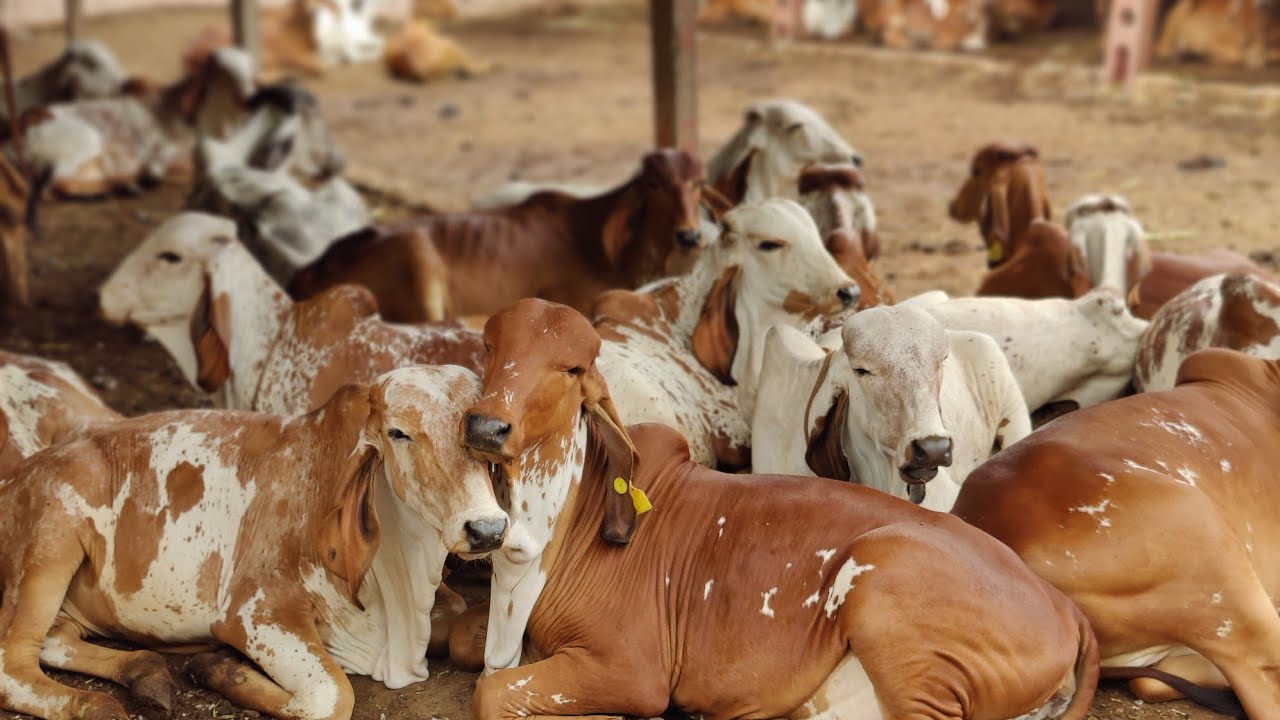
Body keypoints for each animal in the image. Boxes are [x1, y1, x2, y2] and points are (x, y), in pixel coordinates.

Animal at [0, 365, 508, 720]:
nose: (486, 529)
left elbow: (458, 622)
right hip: (51, 546)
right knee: (14, 664)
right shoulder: (254, 613)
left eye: (482, 438)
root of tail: (19, 473)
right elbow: (331, 696)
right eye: (398, 433)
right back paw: (99, 705)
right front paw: (216, 667)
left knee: (54, 639)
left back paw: (146, 673)